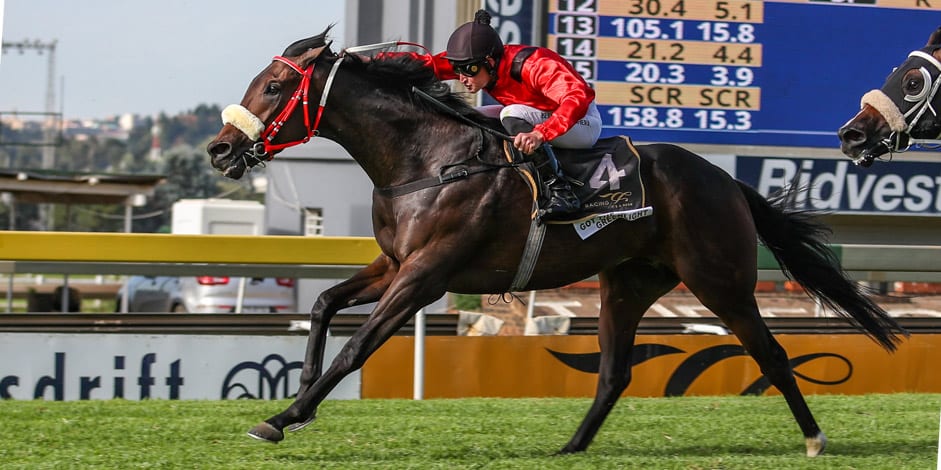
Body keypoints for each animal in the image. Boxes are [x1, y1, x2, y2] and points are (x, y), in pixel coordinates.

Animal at [207, 29, 905, 457]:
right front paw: (300, 393)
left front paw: (282, 417)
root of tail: (726, 181)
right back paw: (570, 447)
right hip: (627, 282)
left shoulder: (426, 275)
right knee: (614, 371)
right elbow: (324, 305)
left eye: (274, 87)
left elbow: (357, 348)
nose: (219, 148)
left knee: (773, 355)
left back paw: (814, 438)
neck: (427, 161)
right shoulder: (393, 262)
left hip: (719, 280)